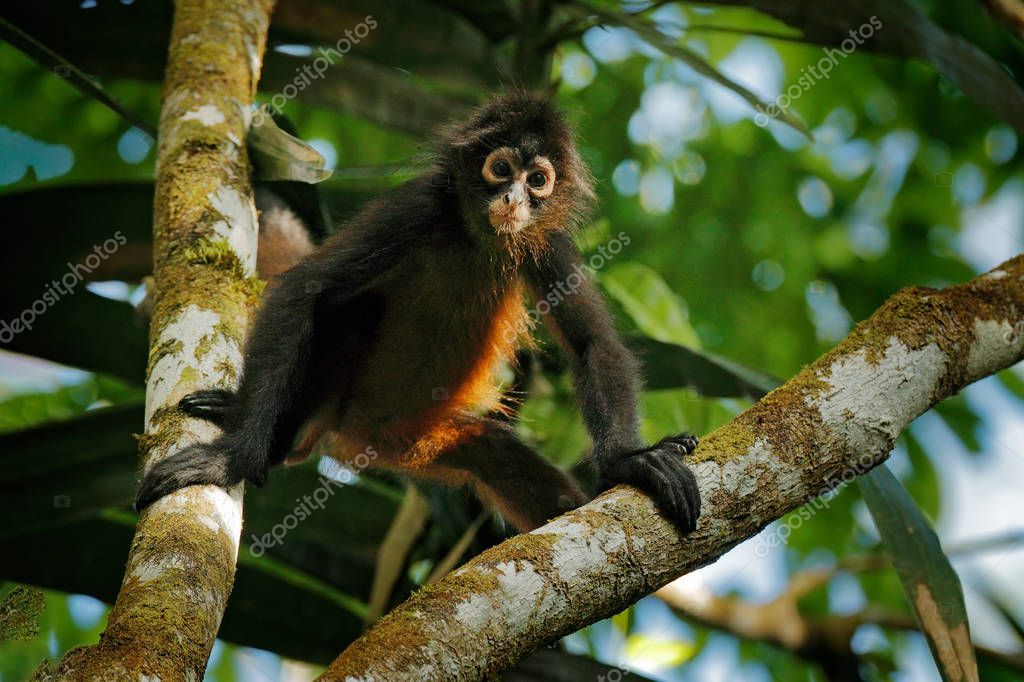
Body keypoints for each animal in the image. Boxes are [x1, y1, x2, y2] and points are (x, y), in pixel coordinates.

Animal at [135, 91, 701, 534]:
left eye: (538, 180)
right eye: (501, 169)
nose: (514, 198)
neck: (477, 239)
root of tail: (367, 435)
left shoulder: (547, 242)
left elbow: (592, 345)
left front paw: (628, 464)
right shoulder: (418, 206)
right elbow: (305, 290)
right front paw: (233, 458)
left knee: (504, 458)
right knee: (348, 308)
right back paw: (277, 440)